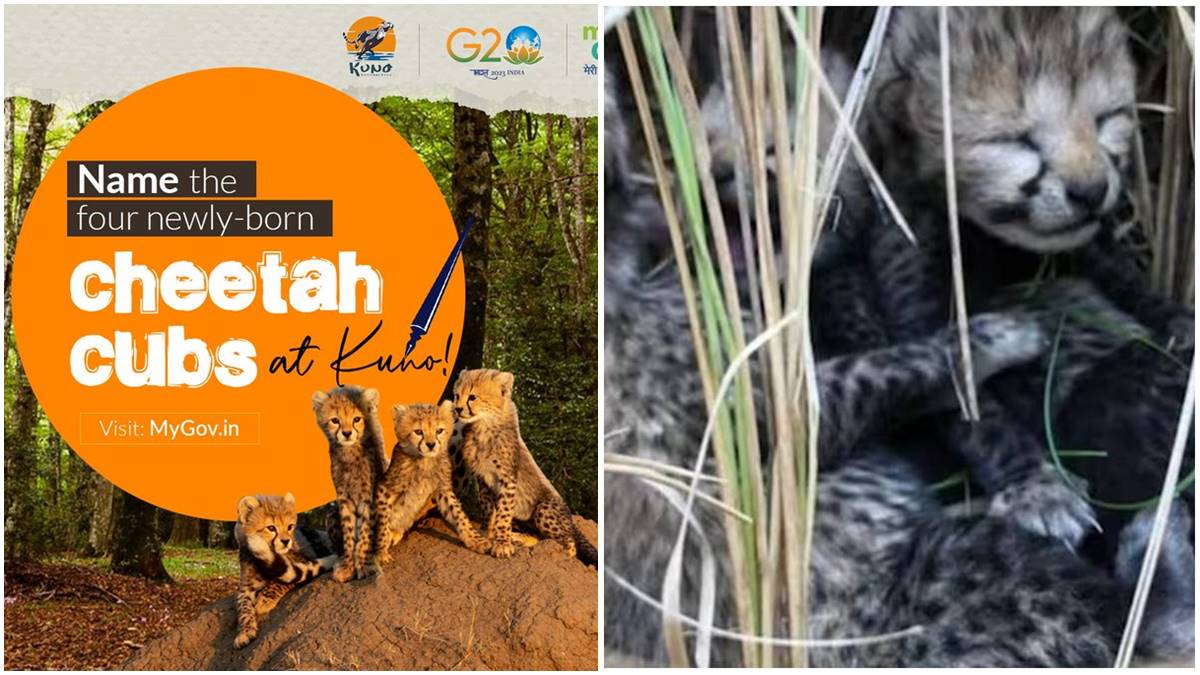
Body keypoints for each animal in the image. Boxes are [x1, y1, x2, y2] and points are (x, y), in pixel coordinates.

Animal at [233, 493, 336, 649]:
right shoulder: (246, 588)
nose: (286, 541)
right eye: (271, 528)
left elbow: (280, 582)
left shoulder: (303, 563)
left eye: (289, 526)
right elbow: (244, 609)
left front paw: (264, 601)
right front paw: (244, 633)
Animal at [311, 384, 385, 582]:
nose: (346, 433)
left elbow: (365, 533)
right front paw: (348, 567)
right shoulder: (344, 498)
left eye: (357, 419)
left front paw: (364, 565)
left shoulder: (368, 498)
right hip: (331, 514)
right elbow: (349, 535)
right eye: (335, 420)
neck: (350, 452)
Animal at [372, 400, 489, 569]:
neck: (425, 461)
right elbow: (382, 522)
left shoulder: (443, 489)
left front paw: (475, 540)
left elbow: (459, 515)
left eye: (439, 430)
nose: (431, 444)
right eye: (418, 431)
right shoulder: (385, 488)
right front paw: (381, 551)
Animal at [453, 368, 597, 566]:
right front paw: (488, 532)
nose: (457, 409)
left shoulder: (507, 478)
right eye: (457, 395)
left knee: (569, 544)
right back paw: (519, 538)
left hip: (543, 509)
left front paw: (502, 543)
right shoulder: (483, 478)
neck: (483, 425)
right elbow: (488, 507)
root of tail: (571, 520)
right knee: (539, 537)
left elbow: (503, 513)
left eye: (472, 397)